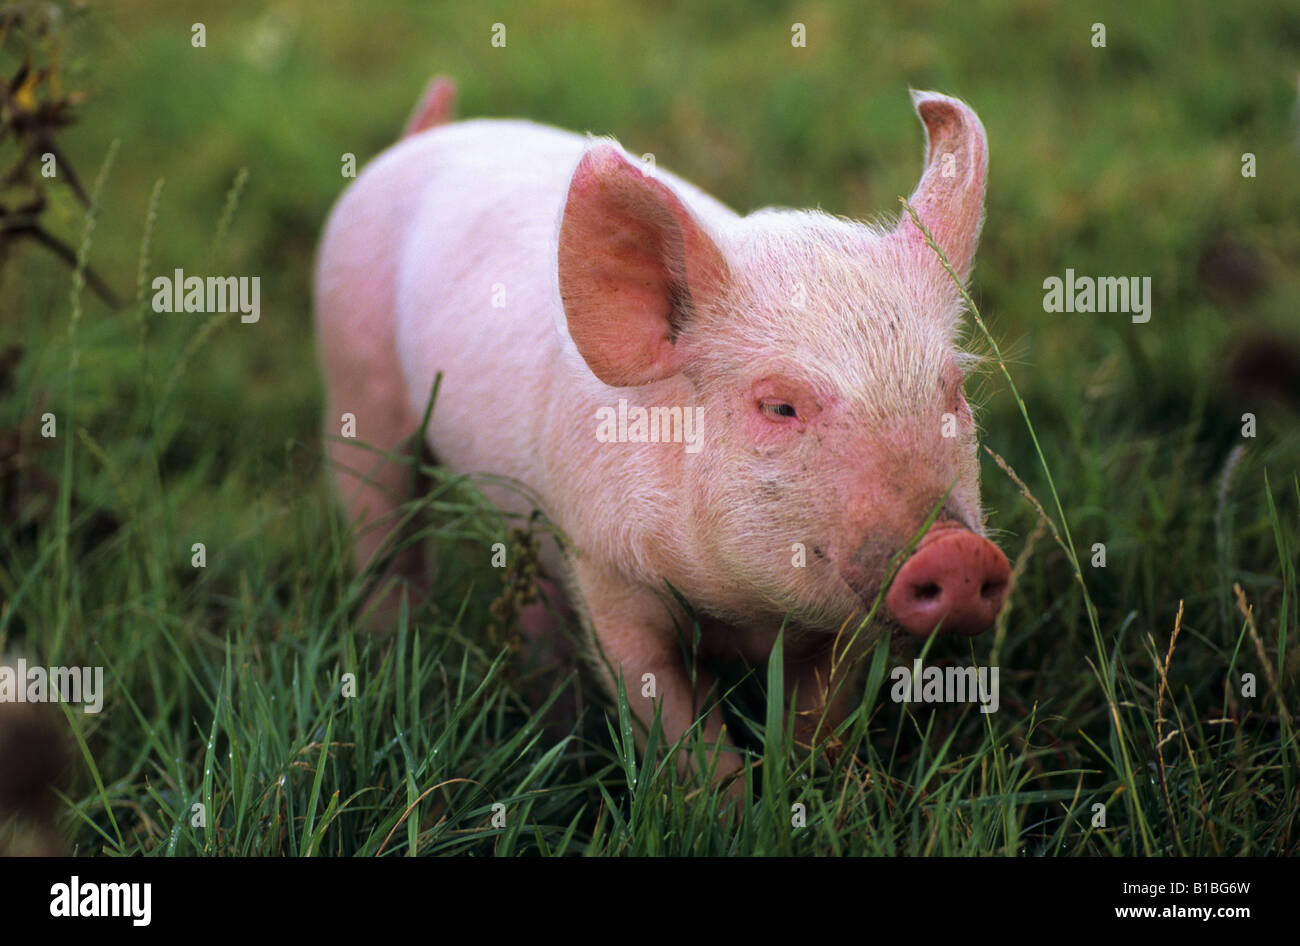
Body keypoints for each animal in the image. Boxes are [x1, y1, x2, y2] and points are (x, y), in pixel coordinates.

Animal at [314, 76, 1011, 790]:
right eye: (779, 406)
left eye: (953, 391)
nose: (958, 552)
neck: (748, 612)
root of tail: (425, 136)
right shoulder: (607, 569)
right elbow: (677, 724)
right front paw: (726, 804)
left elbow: (820, 718)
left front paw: (801, 788)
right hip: (353, 373)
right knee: (379, 520)